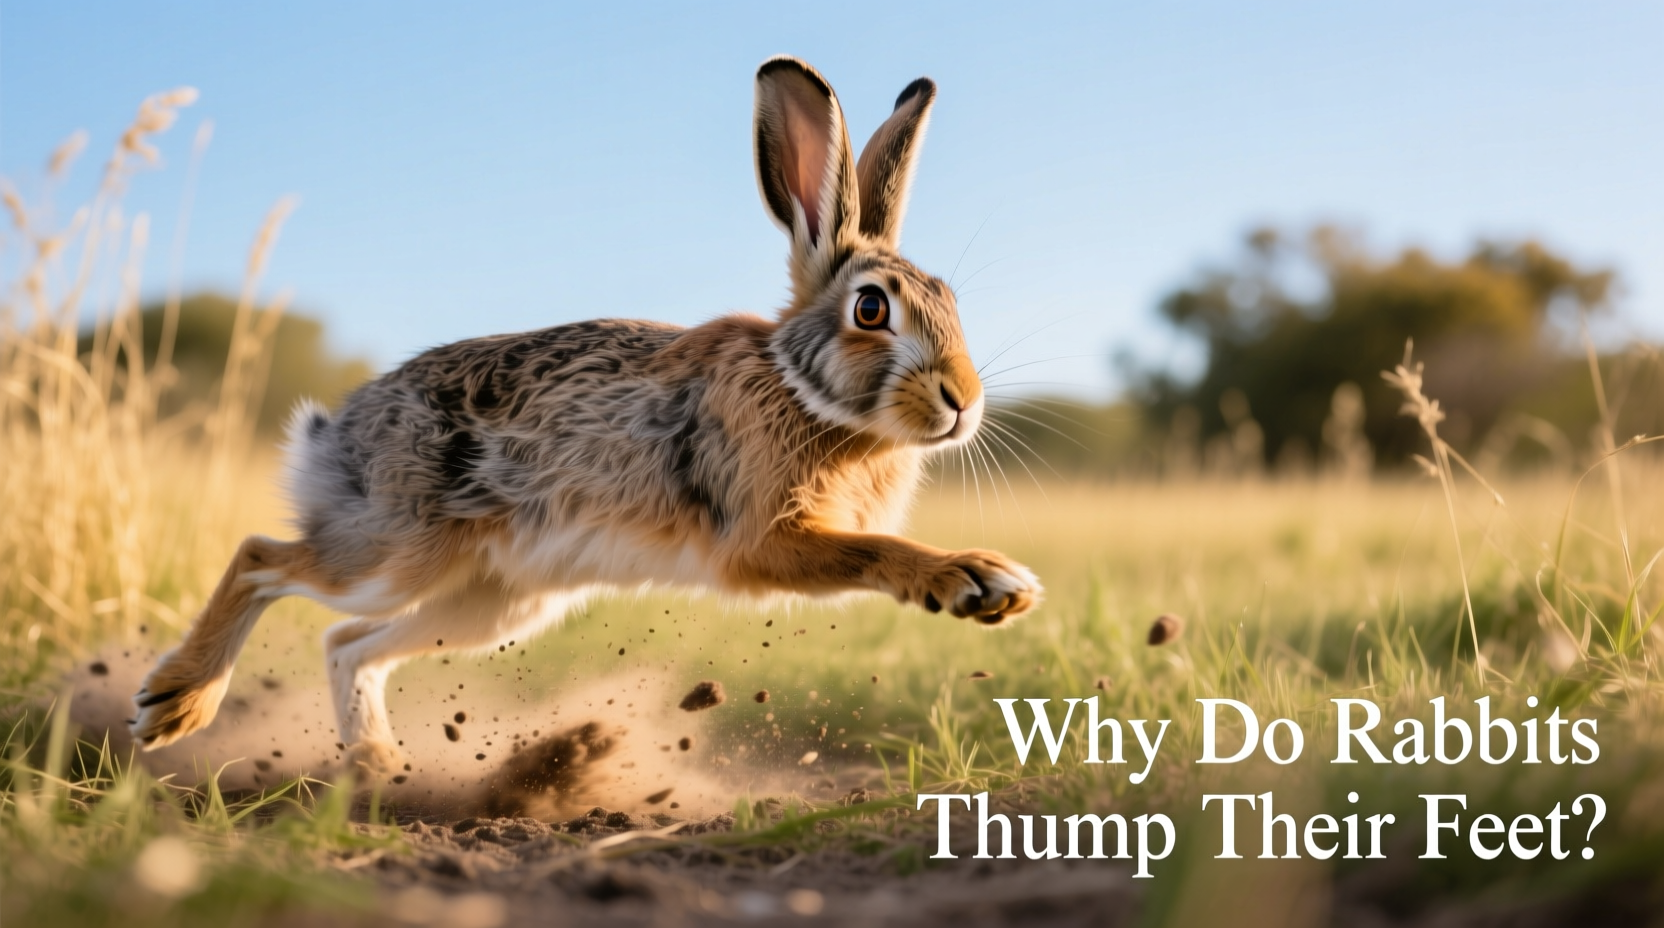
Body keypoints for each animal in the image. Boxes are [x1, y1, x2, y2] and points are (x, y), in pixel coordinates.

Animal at [130, 56, 1041, 778]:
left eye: (951, 303)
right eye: (870, 309)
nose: (963, 400)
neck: (798, 385)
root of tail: (337, 435)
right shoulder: (763, 537)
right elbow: (875, 550)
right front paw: (977, 579)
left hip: (491, 603)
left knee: (345, 644)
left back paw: (378, 767)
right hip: (393, 553)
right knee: (262, 559)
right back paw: (177, 702)